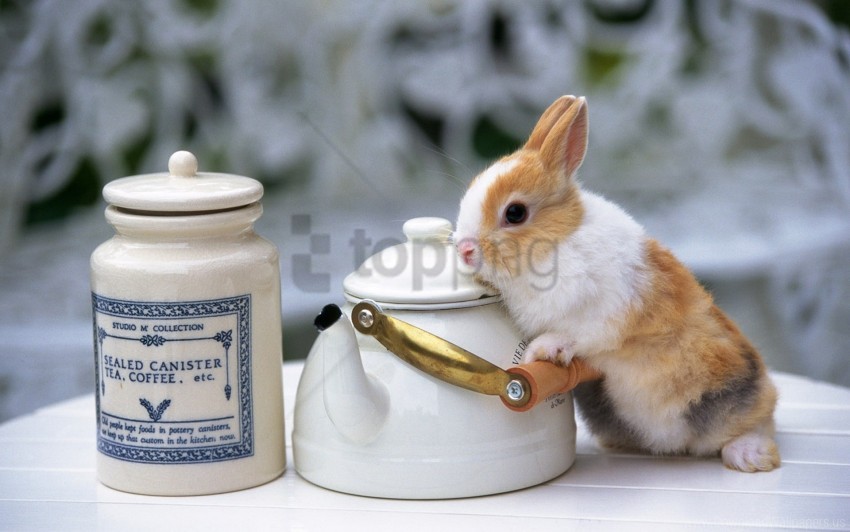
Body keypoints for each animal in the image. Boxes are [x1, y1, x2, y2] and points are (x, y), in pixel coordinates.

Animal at [454, 95, 780, 472]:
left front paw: (540, 350)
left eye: (515, 213)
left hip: (727, 391)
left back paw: (749, 456)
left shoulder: (602, 316)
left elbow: (576, 336)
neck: (558, 243)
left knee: (759, 419)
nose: (463, 250)